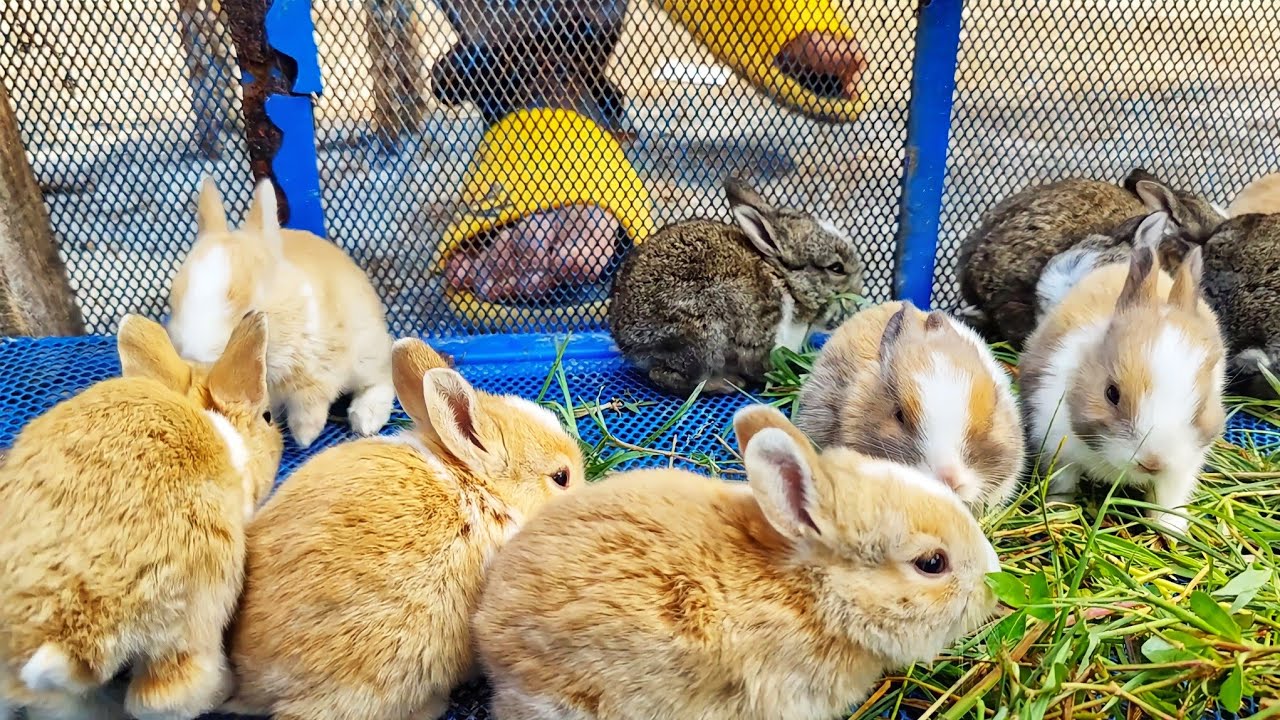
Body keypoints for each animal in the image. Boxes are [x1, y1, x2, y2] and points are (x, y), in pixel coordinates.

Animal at [167, 177, 395, 449]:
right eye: (173, 302)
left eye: (248, 312)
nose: (194, 357)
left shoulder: (322, 368)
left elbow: (311, 402)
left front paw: (305, 437)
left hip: (368, 354)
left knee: (384, 378)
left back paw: (365, 419)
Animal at [610, 177, 864, 396]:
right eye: (836, 268)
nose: (858, 291)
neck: (785, 281)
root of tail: (626, 341)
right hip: (702, 339)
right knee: (665, 376)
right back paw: (724, 384)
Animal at [1020, 213, 1227, 534]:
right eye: (1111, 394)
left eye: (1203, 406)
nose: (1152, 462)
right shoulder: (1057, 448)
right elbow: (1063, 484)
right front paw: (1059, 513)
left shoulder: (1183, 468)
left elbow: (1167, 499)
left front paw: (1172, 530)